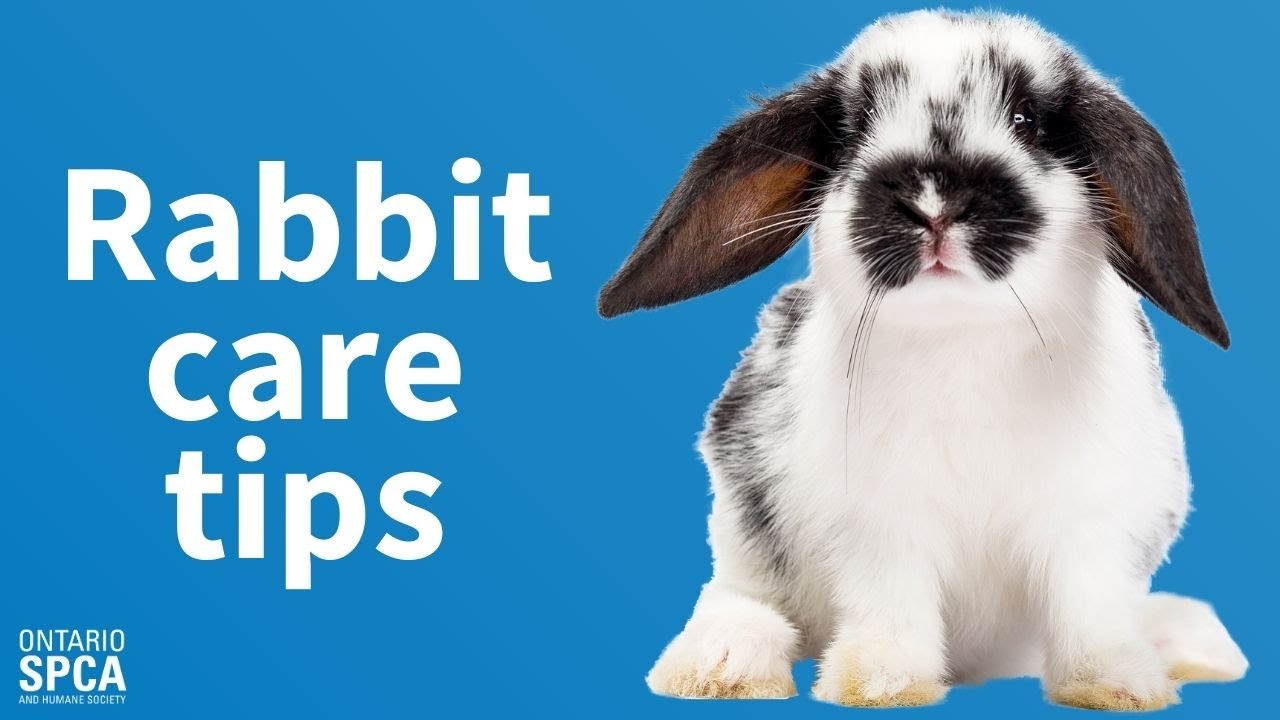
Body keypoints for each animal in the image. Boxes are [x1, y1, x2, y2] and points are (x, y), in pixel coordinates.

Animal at [597, 9, 1248, 711]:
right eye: (853, 128)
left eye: (1027, 119)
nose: (932, 202)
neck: (962, 337)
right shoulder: (877, 529)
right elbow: (892, 601)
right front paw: (884, 683)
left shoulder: (1093, 524)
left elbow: (1090, 607)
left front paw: (1117, 684)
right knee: (739, 600)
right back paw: (720, 666)